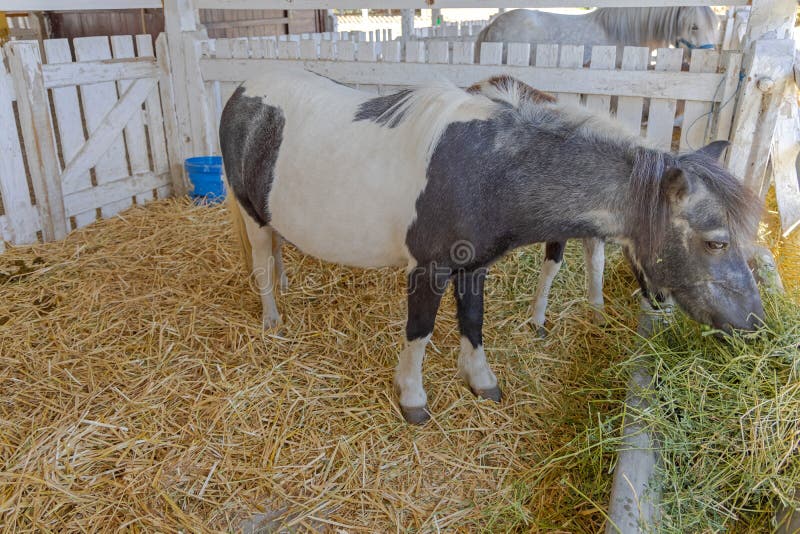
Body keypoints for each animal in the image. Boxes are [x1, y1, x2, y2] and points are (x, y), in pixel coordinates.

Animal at [219, 67, 764, 425]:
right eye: (716, 241)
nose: (754, 322)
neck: (492, 172)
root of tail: (242, 92)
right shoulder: (429, 269)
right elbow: (419, 331)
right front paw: (412, 398)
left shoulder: (472, 266)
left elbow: (473, 323)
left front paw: (480, 381)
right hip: (249, 212)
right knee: (261, 263)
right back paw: (272, 319)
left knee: (277, 249)